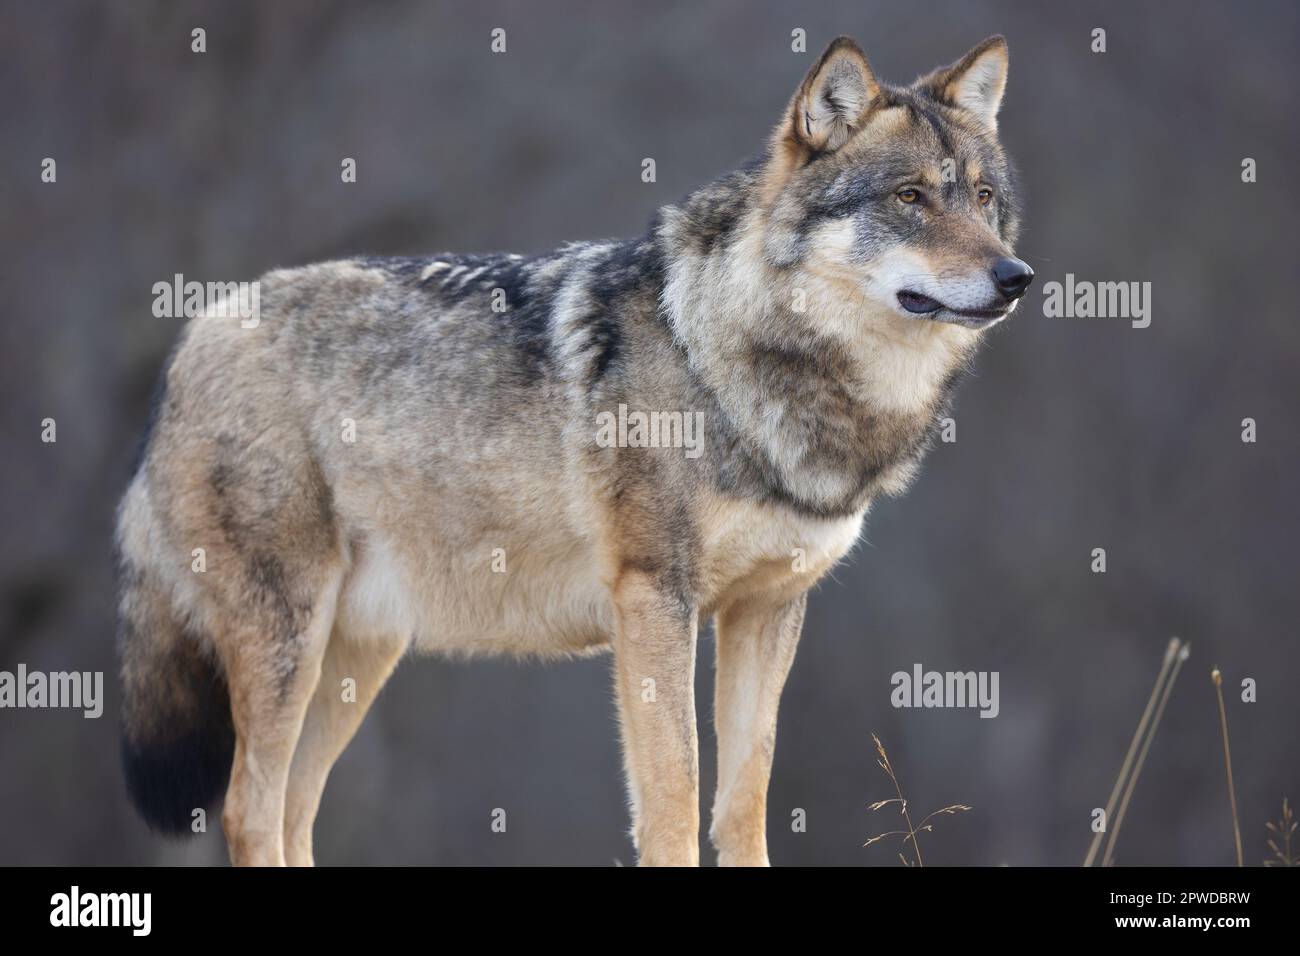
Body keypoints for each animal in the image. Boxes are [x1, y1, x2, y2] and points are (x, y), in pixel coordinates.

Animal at [116, 35, 1031, 866]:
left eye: (984, 198)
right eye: (912, 196)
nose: (1016, 277)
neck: (727, 356)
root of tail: (196, 330)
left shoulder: (768, 608)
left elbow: (744, 802)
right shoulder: (654, 600)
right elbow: (675, 799)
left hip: (357, 659)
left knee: (292, 816)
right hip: (289, 644)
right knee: (248, 812)